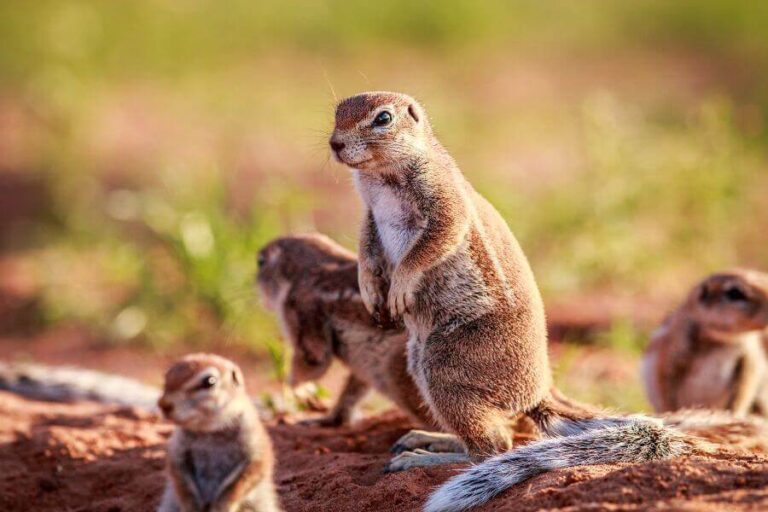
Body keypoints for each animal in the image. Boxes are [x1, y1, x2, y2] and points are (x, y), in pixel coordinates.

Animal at [157, 353, 281, 512]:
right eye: (167, 375)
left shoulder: (255, 449)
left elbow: (240, 482)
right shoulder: (177, 449)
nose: (163, 404)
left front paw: (220, 506)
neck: (210, 431)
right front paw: (193, 506)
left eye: (210, 381)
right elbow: (181, 481)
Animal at [330, 91, 693, 511]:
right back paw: (428, 438)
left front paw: (401, 284)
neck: (380, 176)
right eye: (337, 112)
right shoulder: (369, 219)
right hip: (419, 360)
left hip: (444, 365)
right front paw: (371, 291)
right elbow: (367, 253)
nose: (335, 144)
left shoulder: (445, 203)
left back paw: (421, 457)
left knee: (494, 446)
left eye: (383, 118)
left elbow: (432, 244)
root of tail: (538, 391)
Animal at [642, 269, 768, 417]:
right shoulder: (669, 350)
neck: (720, 340)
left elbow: (743, 388)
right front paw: (671, 413)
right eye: (734, 293)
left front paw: (733, 414)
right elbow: (664, 385)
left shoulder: (749, 357)